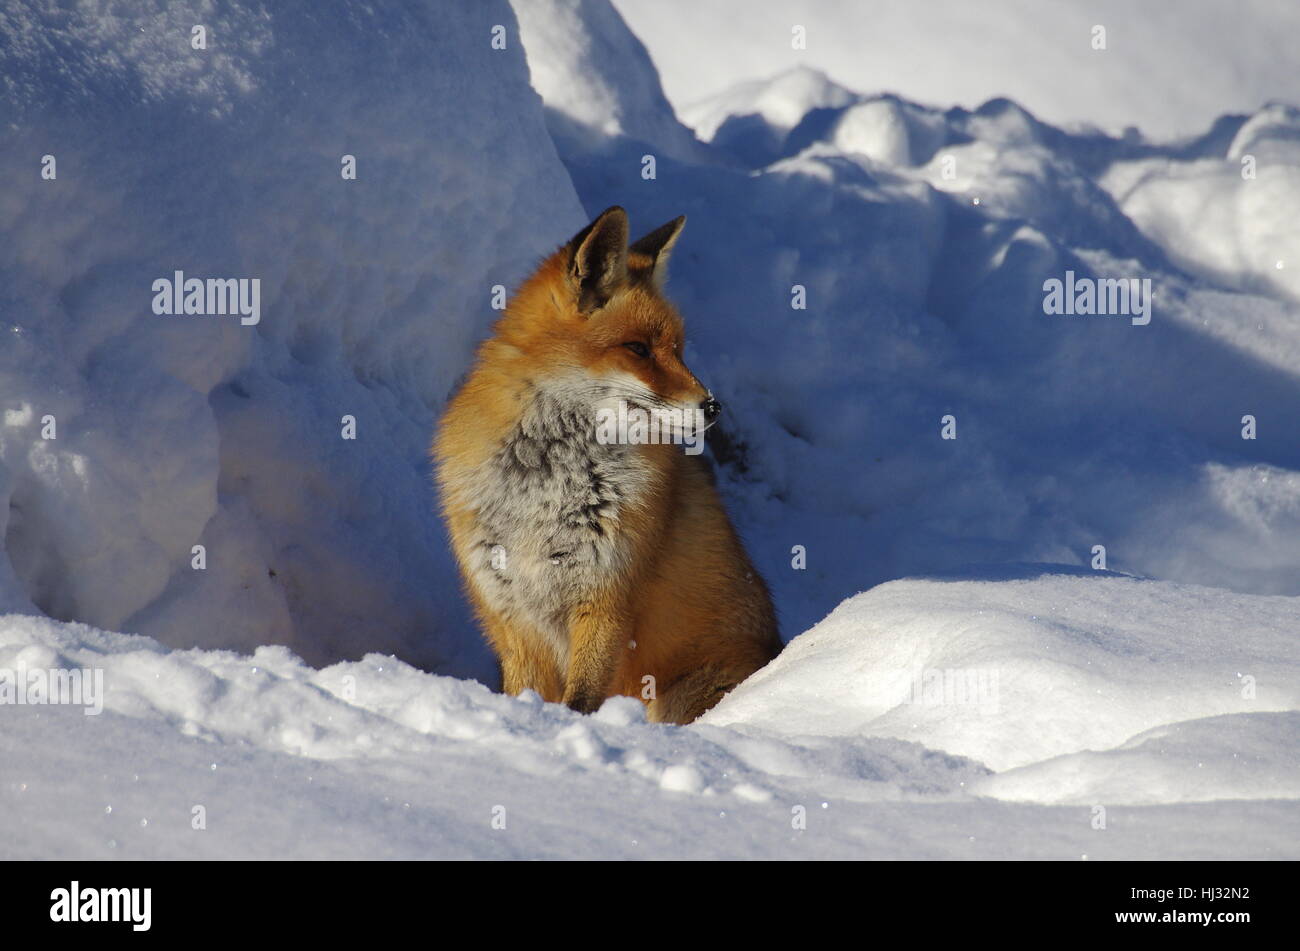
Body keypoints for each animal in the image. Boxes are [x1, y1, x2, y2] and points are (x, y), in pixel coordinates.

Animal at [434, 206, 781, 724]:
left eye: (678, 349)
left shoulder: (606, 604)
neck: (547, 484)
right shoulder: (511, 615)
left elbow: (580, 701)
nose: (714, 408)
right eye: (638, 349)